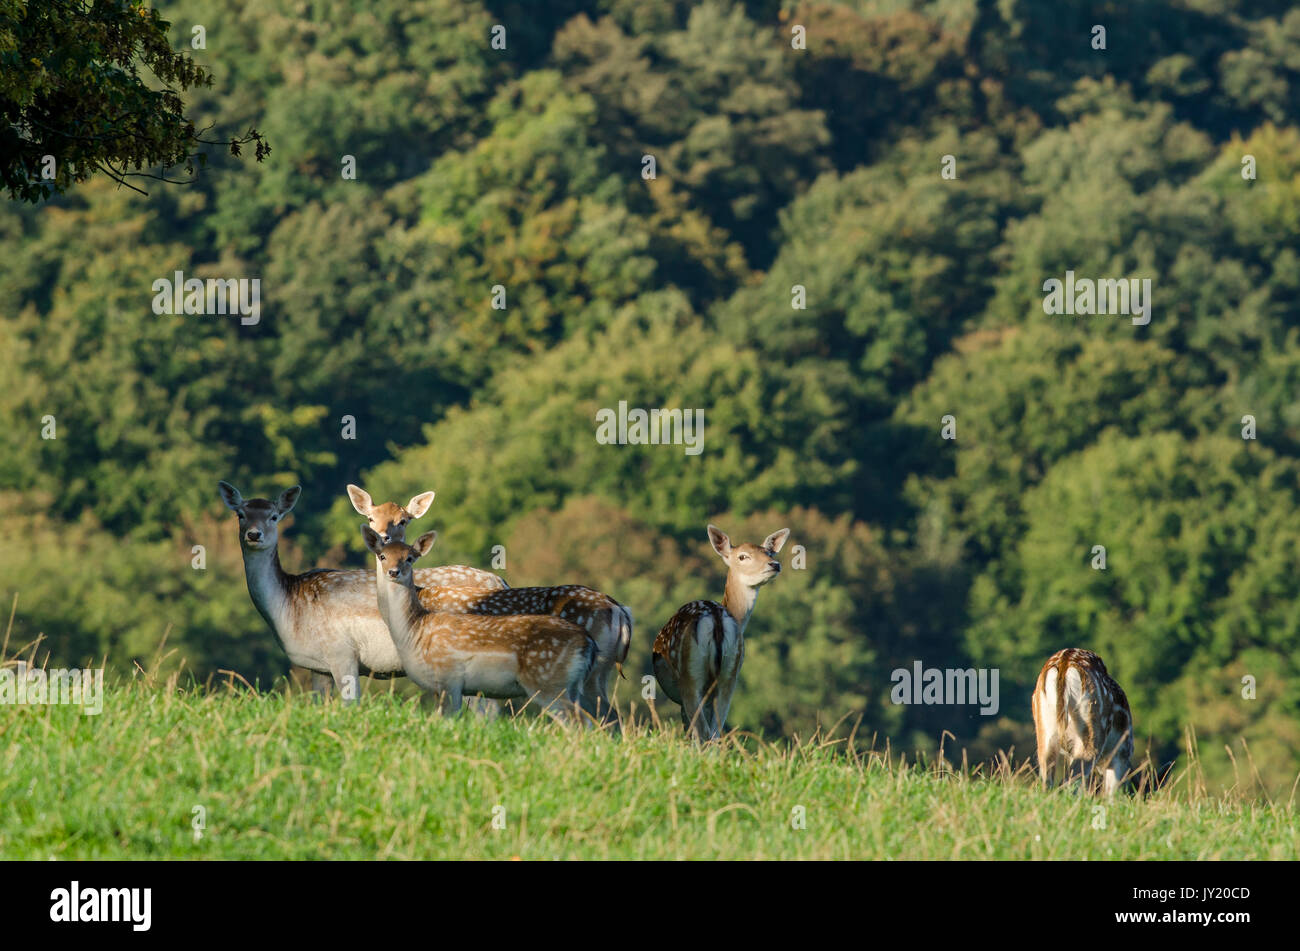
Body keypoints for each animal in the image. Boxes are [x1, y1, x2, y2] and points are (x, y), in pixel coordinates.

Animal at [218, 481, 506, 703]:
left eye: (274, 516)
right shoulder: (317, 667)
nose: (254, 534)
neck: (288, 608)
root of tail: (501, 581)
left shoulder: (342, 653)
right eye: (240, 514)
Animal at [361, 526, 595, 721]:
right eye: (382, 556)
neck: (415, 631)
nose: (393, 571)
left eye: (409, 558)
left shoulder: (448, 679)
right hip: (572, 687)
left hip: (548, 682)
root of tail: (588, 644)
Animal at [652, 524, 789, 741]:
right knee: (715, 732)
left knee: (703, 733)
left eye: (768, 552)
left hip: (690, 676)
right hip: (730, 675)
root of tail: (716, 619)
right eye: (743, 556)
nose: (774, 564)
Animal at [1032, 648, 1134, 797]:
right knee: (1068, 782)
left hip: (1045, 729)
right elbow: (1111, 793)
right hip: (1092, 731)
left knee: (1047, 780)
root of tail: (1065, 662)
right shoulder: (1121, 753)